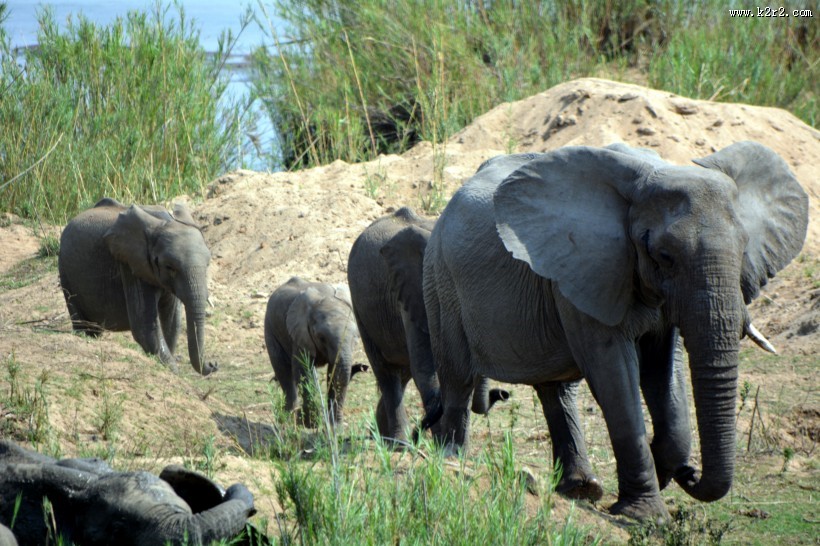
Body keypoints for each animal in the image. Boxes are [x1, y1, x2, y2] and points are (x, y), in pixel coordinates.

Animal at [58, 197, 217, 375]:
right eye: (170, 267)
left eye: (208, 264)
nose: (213, 364)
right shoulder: (130, 264)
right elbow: (144, 327)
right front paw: (174, 371)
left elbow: (172, 322)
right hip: (65, 270)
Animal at [265, 276, 364, 427]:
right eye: (321, 337)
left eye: (356, 336)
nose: (361, 367)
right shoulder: (300, 335)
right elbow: (303, 371)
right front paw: (309, 424)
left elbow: (334, 374)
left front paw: (335, 426)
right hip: (270, 328)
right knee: (283, 370)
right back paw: (287, 416)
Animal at [347, 207, 509, 444]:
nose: (503, 394)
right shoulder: (411, 291)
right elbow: (427, 370)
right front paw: (441, 442)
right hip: (361, 305)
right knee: (387, 373)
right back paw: (400, 442)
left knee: (403, 373)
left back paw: (383, 436)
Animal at [421, 142, 808, 521]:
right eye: (664, 256)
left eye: (744, 250)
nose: (691, 474)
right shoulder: (585, 267)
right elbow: (615, 373)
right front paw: (646, 517)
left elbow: (663, 370)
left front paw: (664, 466)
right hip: (440, 278)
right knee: (458, 375)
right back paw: (452, 459)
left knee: (556, 390)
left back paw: (581, 489)